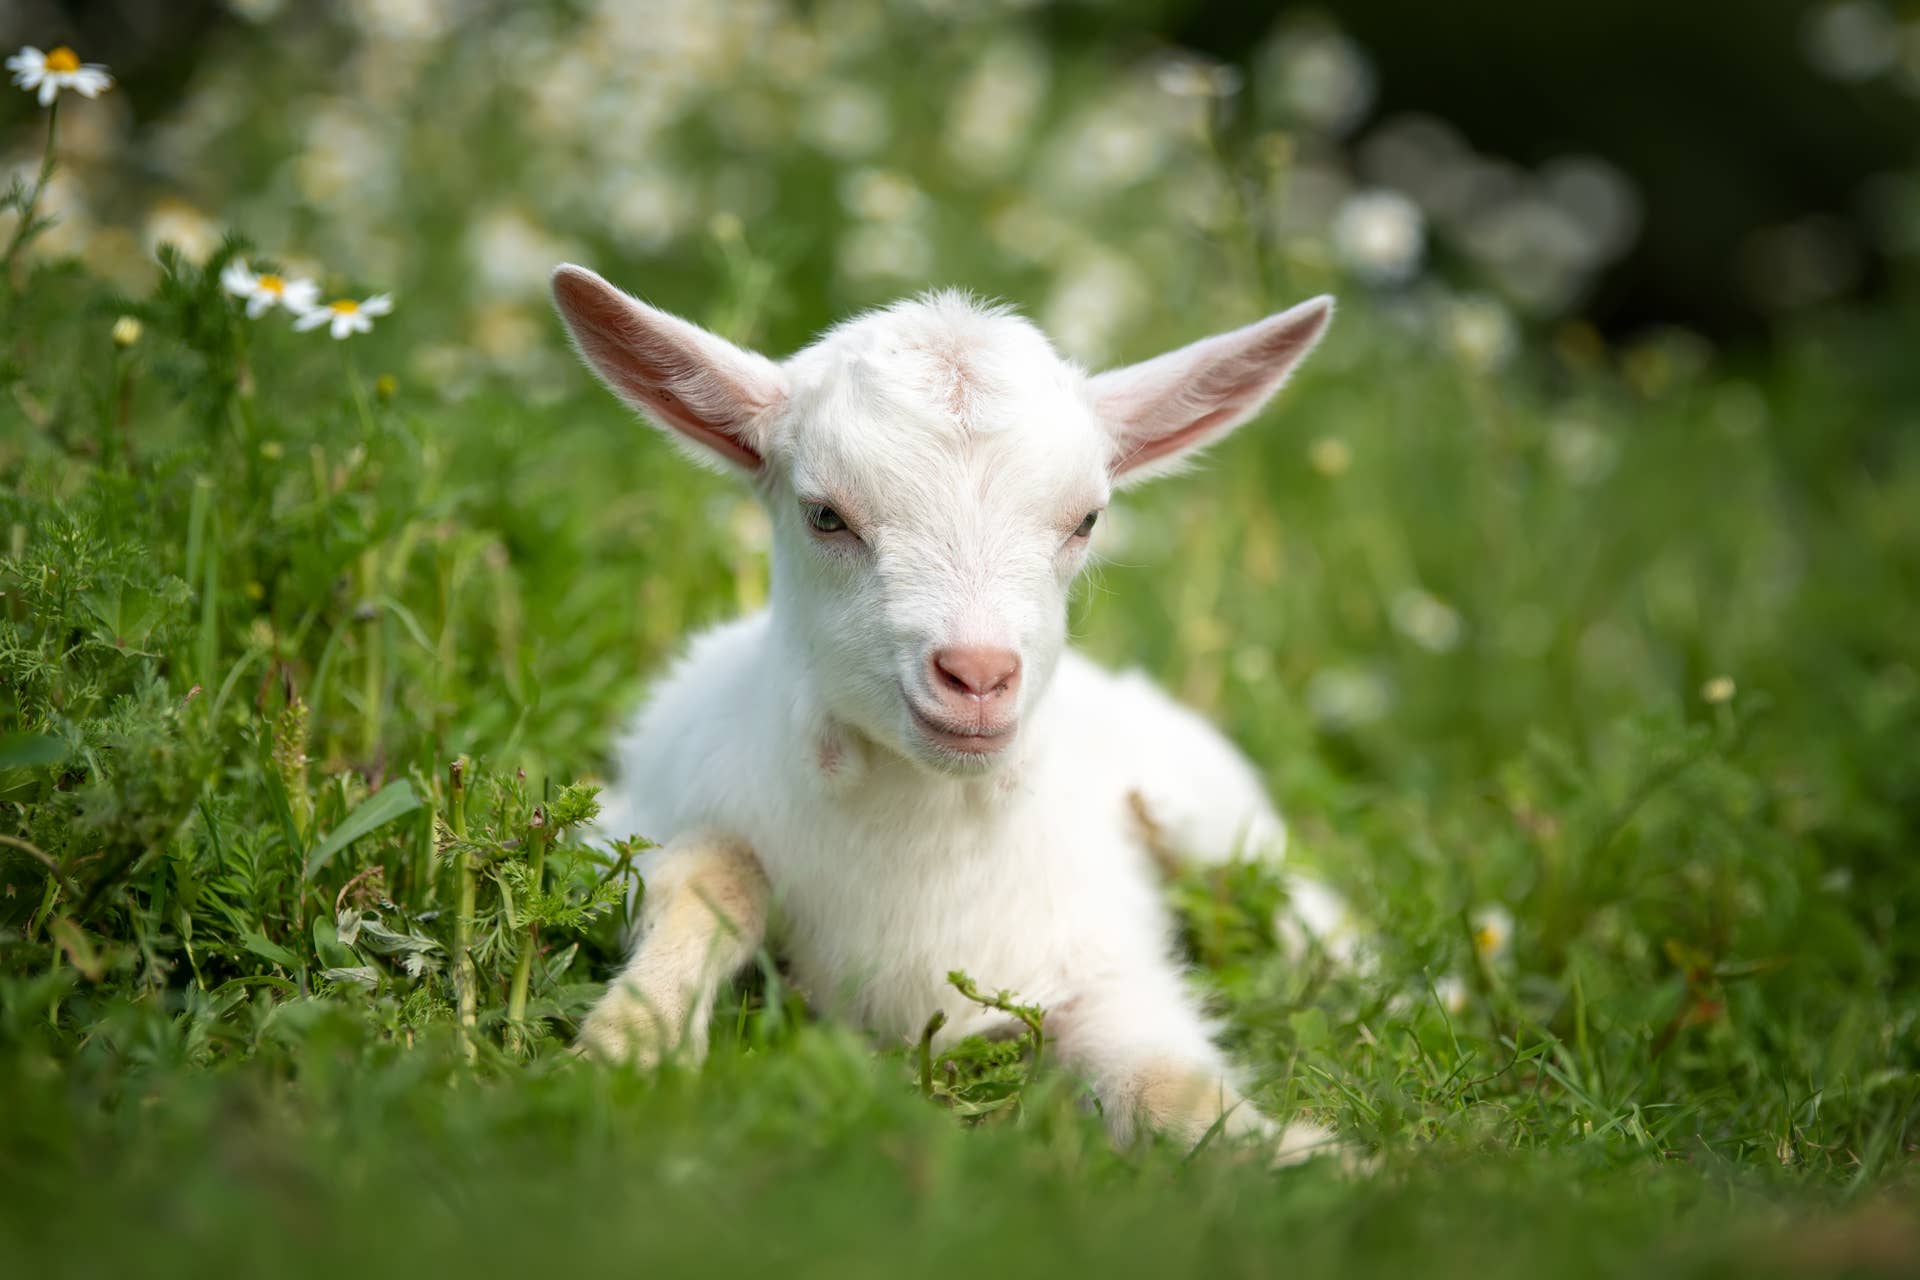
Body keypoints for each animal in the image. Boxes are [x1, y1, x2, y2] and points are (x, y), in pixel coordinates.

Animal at [552, 265, 1346, 1157]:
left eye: (1087, 519)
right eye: (825, 514)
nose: (978, 674)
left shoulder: (1103, 956)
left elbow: (1167, 1085)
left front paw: (1314, 1159)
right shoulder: (621, 825)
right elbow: (713, 871)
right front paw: (629, 1048)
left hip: (1216, 817)